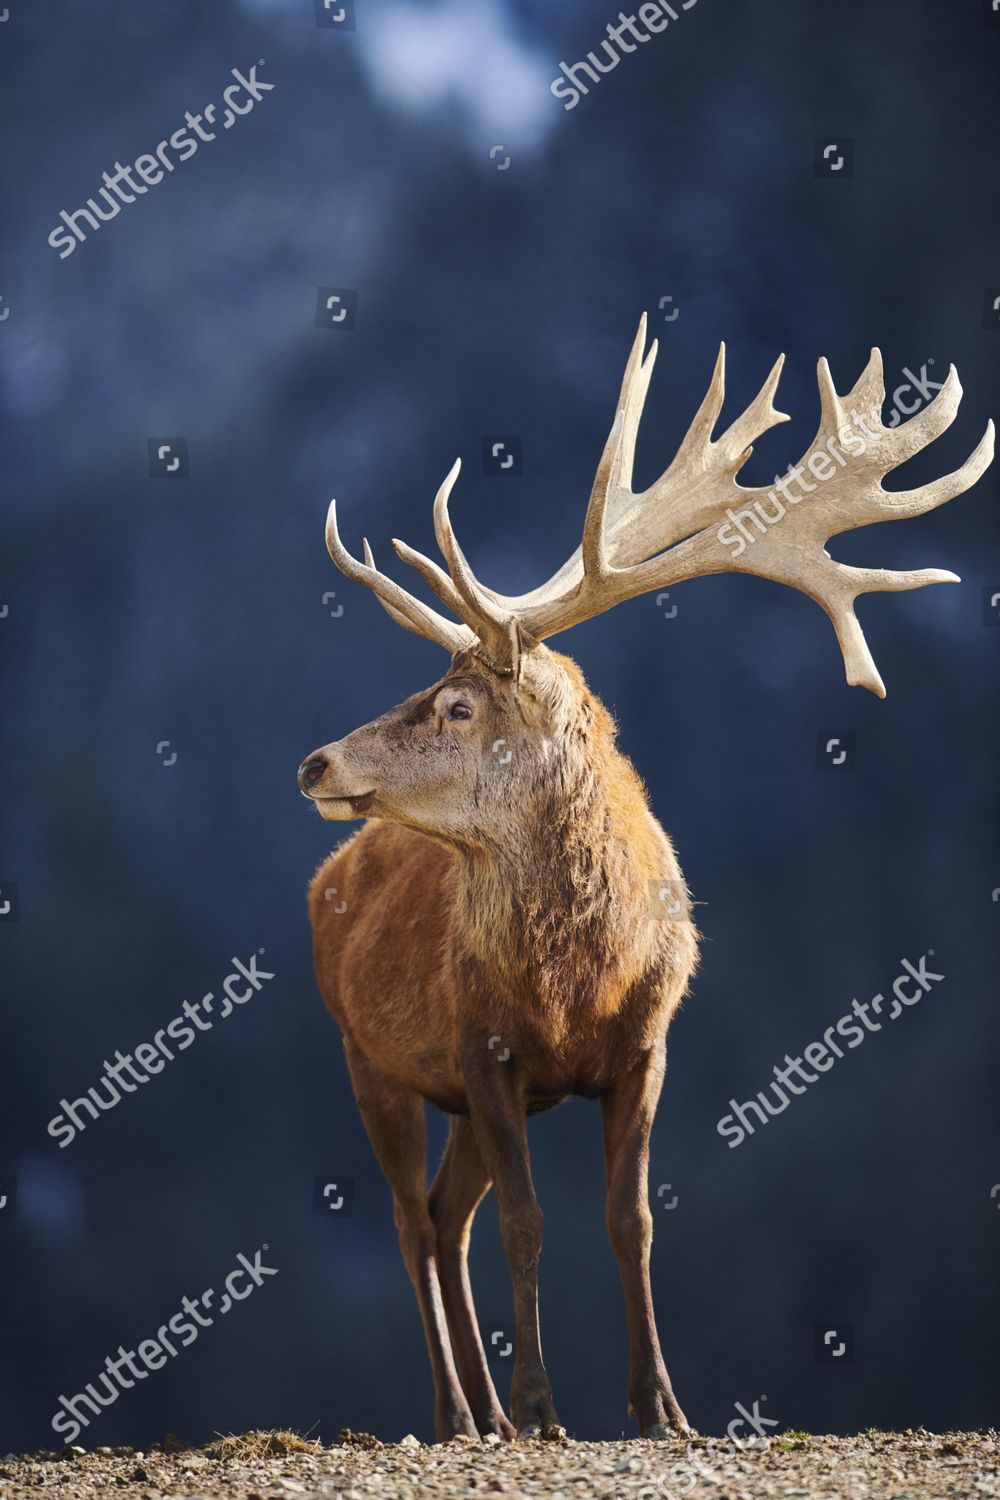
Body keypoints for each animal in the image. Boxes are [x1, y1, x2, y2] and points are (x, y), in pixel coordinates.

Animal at [297, 316, 992, 1443]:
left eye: (456, 706)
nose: (315, 764)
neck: (579, 979)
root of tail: (328, 876)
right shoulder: (484, 1047)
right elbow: (528, 1224)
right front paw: (545, 1410)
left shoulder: (647, 1044)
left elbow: (630, 1223)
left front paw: (663, 1407)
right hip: (368, 1055)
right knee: (412, 1222)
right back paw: (461, 1414)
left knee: (441, 1217)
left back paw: (481, 1413)